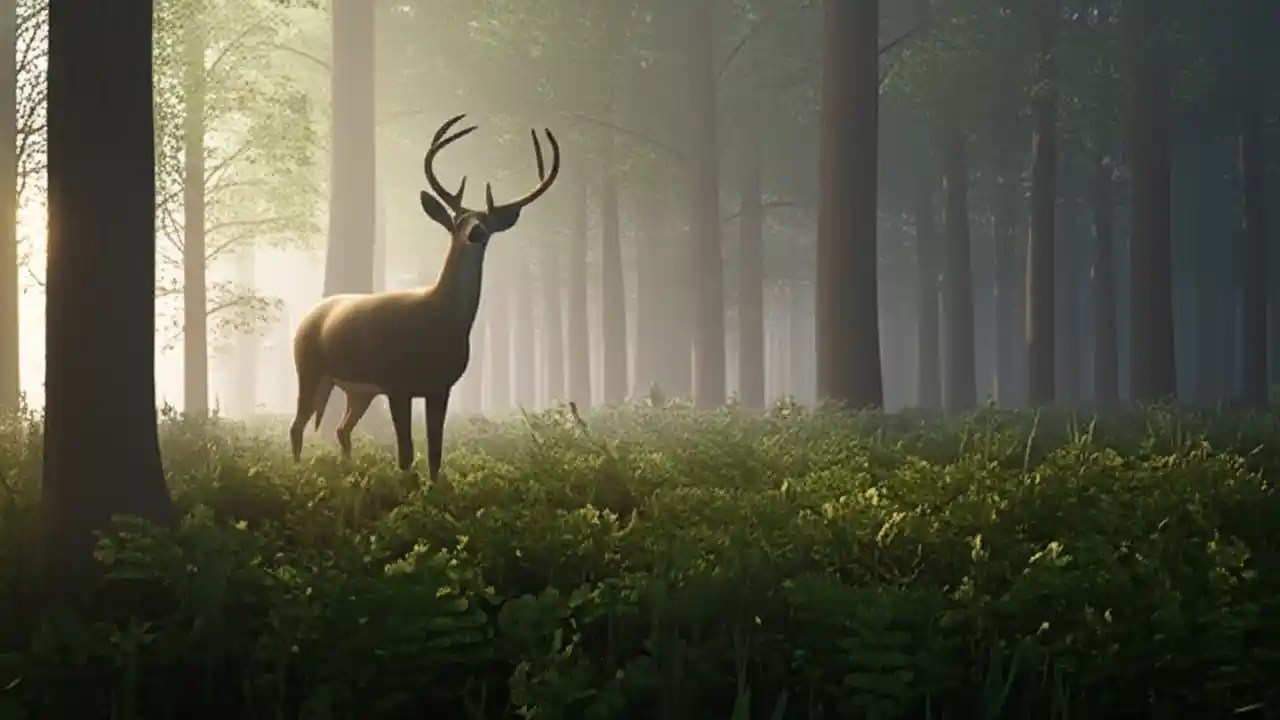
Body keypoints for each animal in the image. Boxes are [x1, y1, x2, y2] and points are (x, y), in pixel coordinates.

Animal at [289, 114, 561, 481]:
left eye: (488, 221)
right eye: (458, 219)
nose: (475, 232)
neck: (438, 321)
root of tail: (310, 315)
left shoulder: (440, 386)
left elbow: (435, 452)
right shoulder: (397, 383)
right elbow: (406, 452)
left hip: (359, 390)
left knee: (341, 429)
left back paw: (349, 471)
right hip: (308, 367)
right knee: (297, 426)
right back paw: (299, 472)